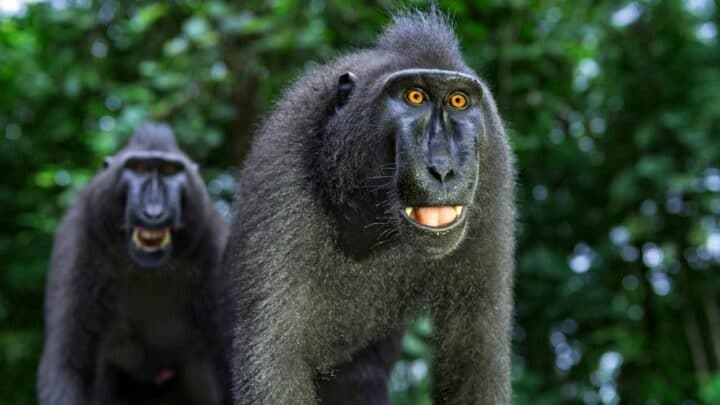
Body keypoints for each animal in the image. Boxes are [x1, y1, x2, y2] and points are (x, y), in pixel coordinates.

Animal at [37, 123, 232, 405]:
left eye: (170, 171)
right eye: (138, 168)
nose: (154, 211)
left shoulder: (214, 241)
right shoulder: (79, 236)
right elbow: (68, 364)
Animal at [225, 10, 515, 405]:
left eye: (459, 101)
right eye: (414, 96)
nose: (443, 168)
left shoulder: (492, 194)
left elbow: (474, 357)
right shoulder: (284, 183)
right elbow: (276, 366)